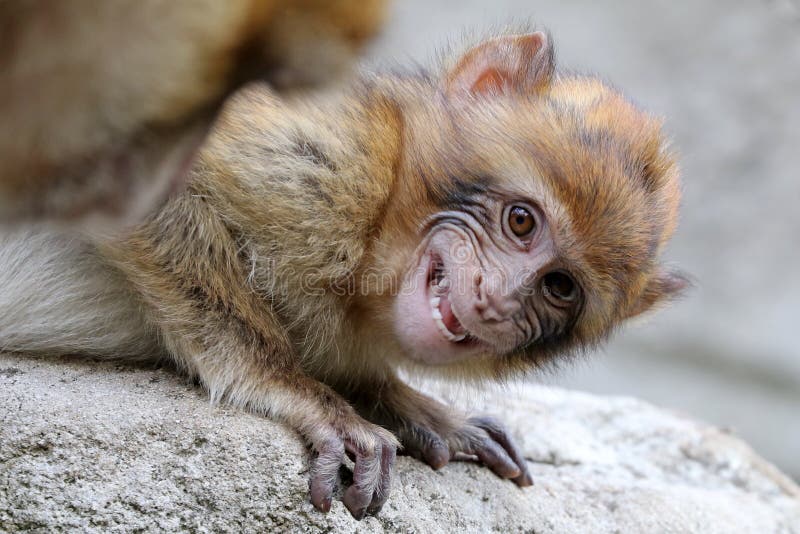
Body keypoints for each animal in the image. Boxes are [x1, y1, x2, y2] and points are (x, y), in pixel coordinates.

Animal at [0, 30, 688, 519]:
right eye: (521, 221)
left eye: (559, 287)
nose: (496, 303)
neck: (376, 234)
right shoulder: (323, 161)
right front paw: (293, 388)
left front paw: (415, 407)